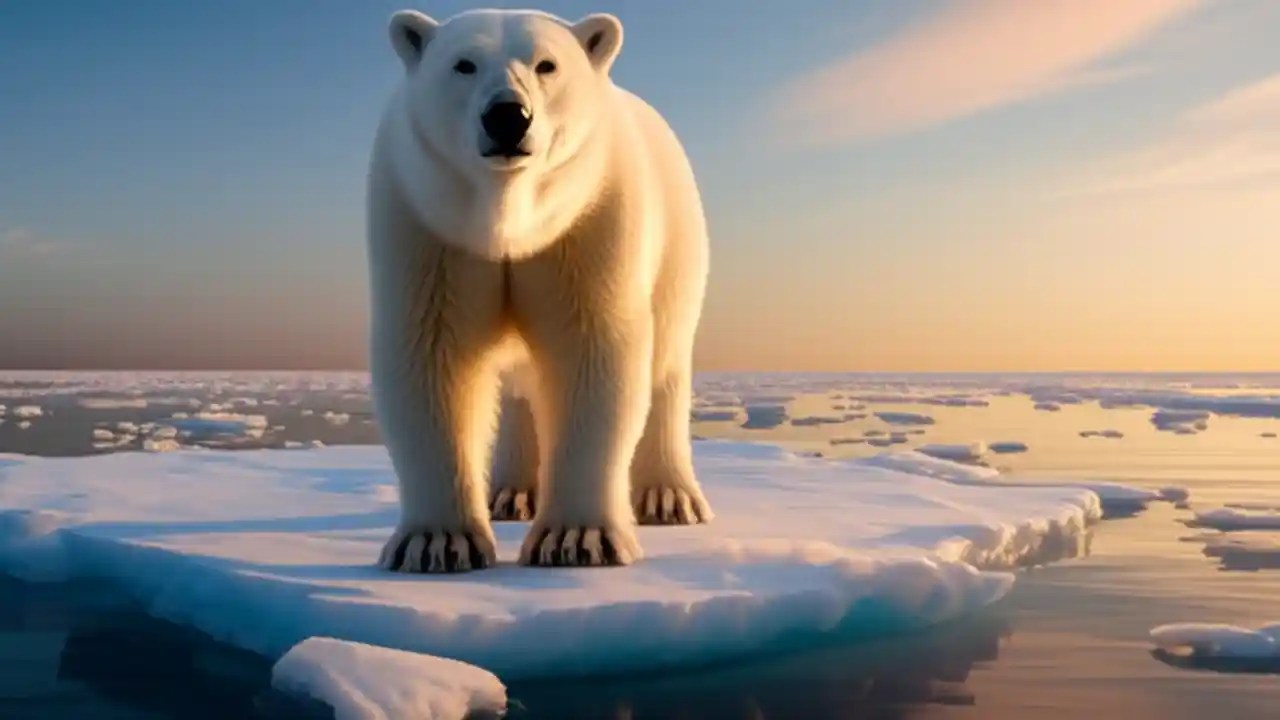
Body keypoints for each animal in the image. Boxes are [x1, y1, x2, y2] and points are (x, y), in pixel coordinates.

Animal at [367, 8, 712, 573]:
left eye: (546, 64)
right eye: (463, 64)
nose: (508, 116)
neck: (509, 219)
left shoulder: (591, 218)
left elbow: (592, 349)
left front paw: (577, 539)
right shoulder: (428, 223)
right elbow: (430, 353)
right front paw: (437, 542)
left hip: (679, 245)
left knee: (666, 363)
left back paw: (670, 497)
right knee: (519, 389)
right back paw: (509, 493)